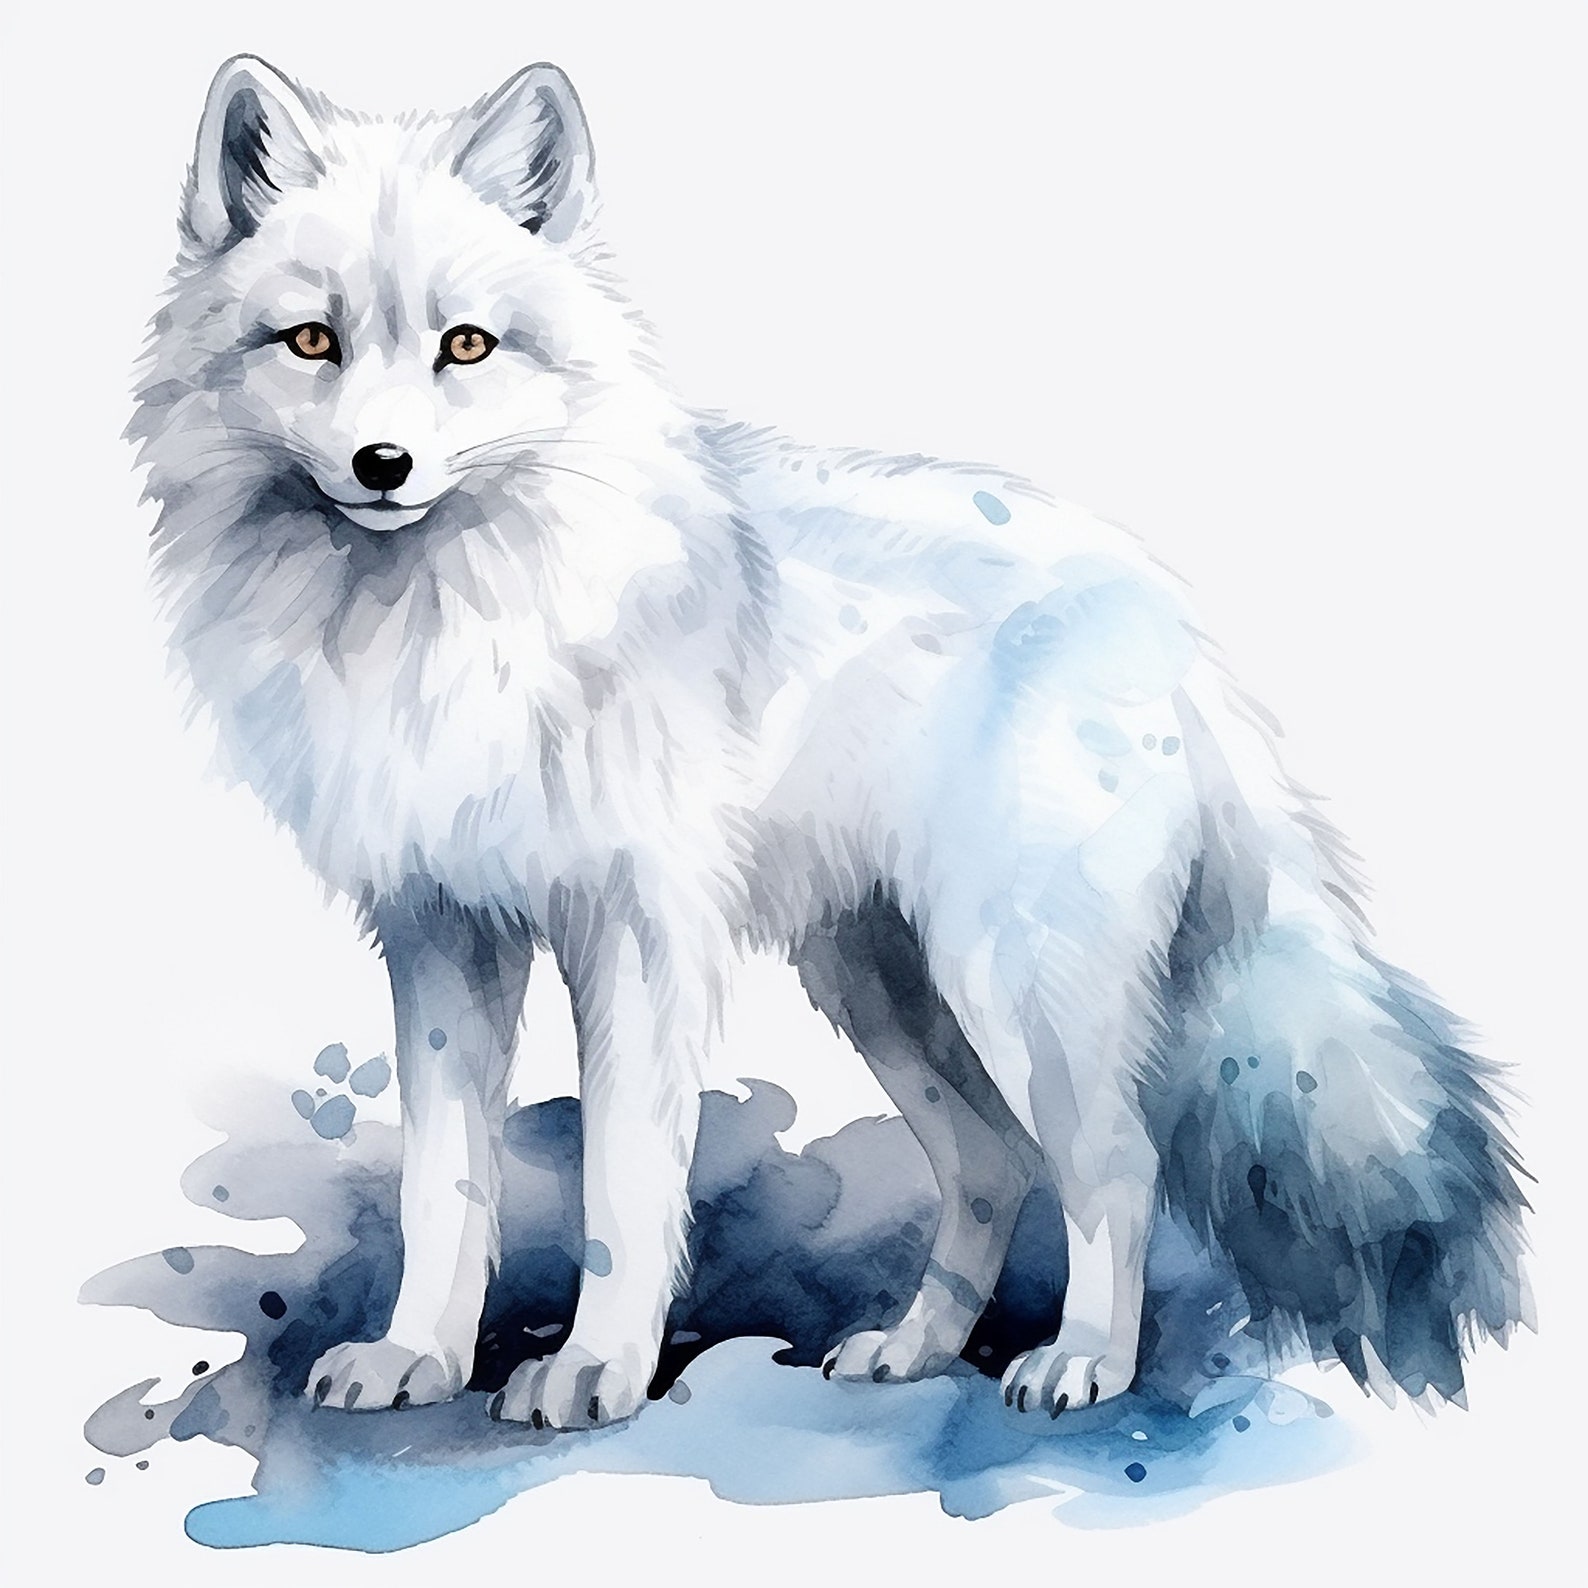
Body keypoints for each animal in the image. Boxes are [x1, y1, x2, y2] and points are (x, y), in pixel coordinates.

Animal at [130, 56, 1530, 1432]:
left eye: (464, 346)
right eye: (312, 340)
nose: (383, 462)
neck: (453, 626)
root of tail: (1166, 618)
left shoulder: (635, 931)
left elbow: (623, 1186)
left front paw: (596, 1372)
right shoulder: (438, 930)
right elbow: (444, 1186)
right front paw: (415, 1354)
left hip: (1012, 986)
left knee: (1113, 1167)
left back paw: (1084, 1360)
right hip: (878, 984)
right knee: (991, 1162)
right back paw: (914, 1347)